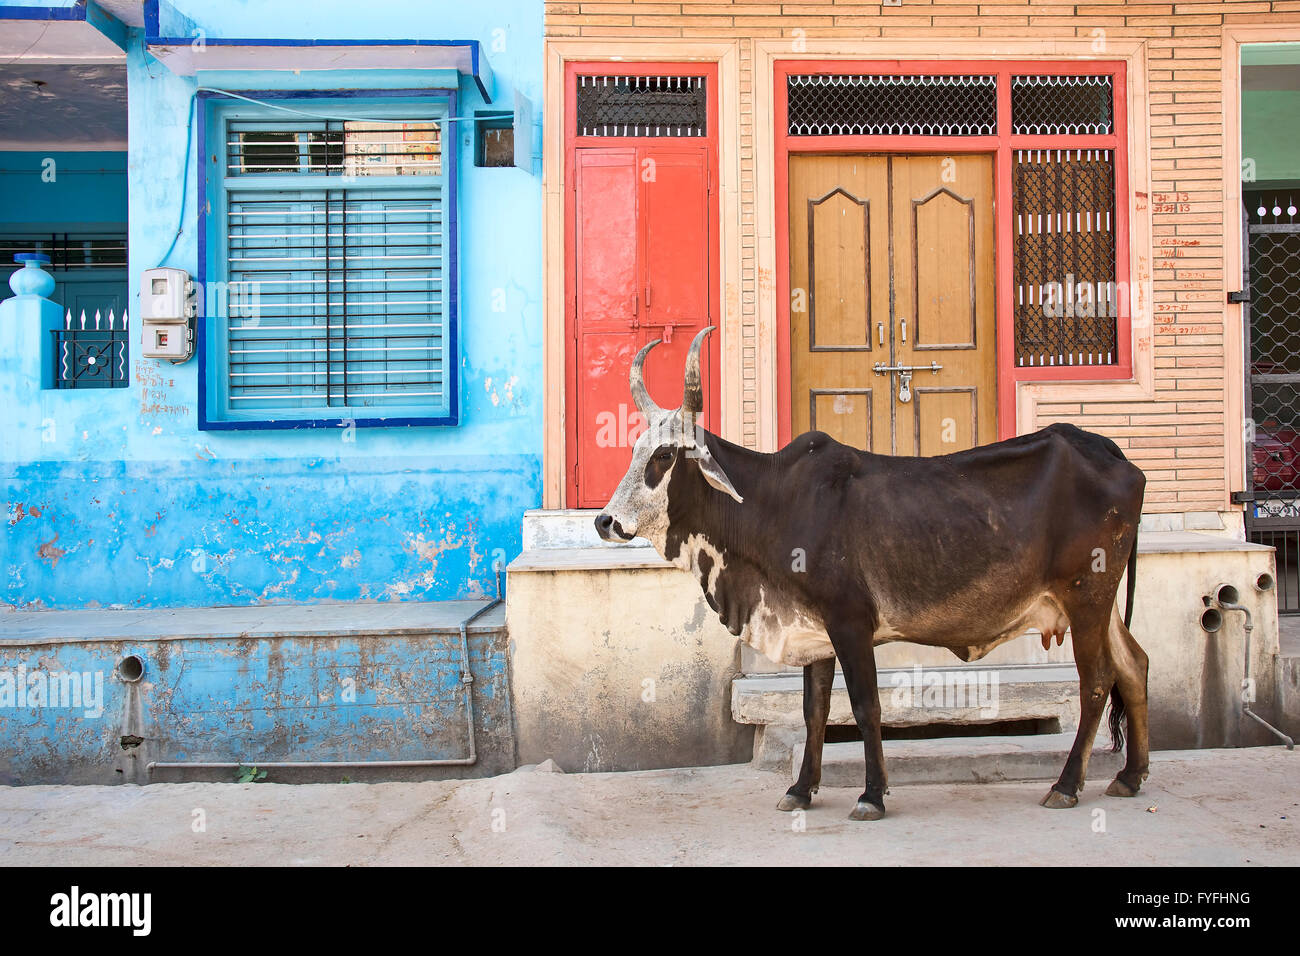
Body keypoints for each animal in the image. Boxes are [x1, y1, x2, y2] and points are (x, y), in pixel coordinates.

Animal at [595, 326, 1150, 821]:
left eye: (664, 455)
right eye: (633, 450)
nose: (605, 522)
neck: (773, 504)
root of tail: (1106, 449)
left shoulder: (850, 623)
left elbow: (865, 707)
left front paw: (872, 795)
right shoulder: (813, 629)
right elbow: (814, 710)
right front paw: (801, 789)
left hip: (1086, 597)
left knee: (1097, 681)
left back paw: (1067, 785)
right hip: (1101, 606)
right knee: (1134, 666)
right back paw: (1130, 776)